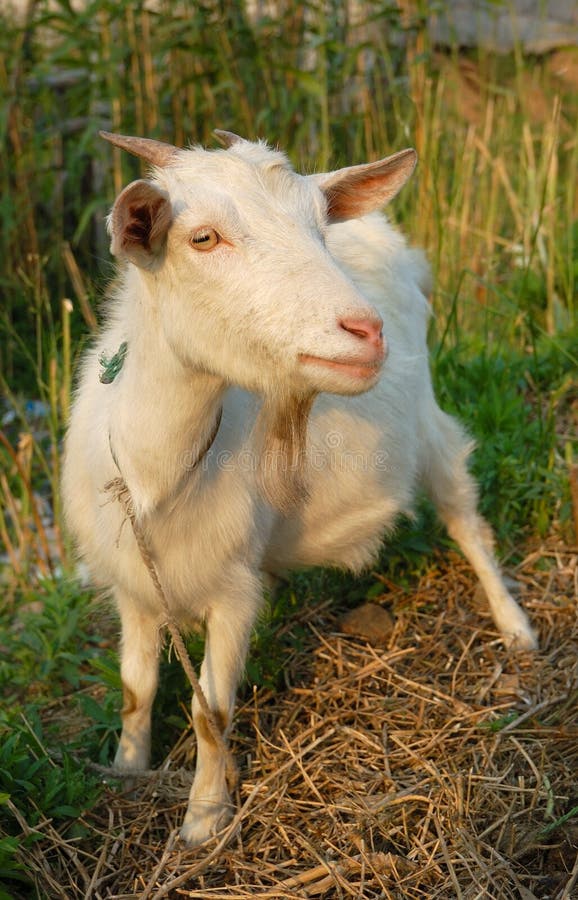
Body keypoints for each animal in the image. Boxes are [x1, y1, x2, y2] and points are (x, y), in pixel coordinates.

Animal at [62, 130, 537, 846]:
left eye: (319, 228)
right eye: (202, 238)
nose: (366, 331)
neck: (158, 479)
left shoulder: (233, 591)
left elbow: (210, 711)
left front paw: (204, 821)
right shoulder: (134, 585)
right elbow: (134, 688)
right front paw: (125, 768)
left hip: (429, 424)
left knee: (466, 520)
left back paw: (515, 628)